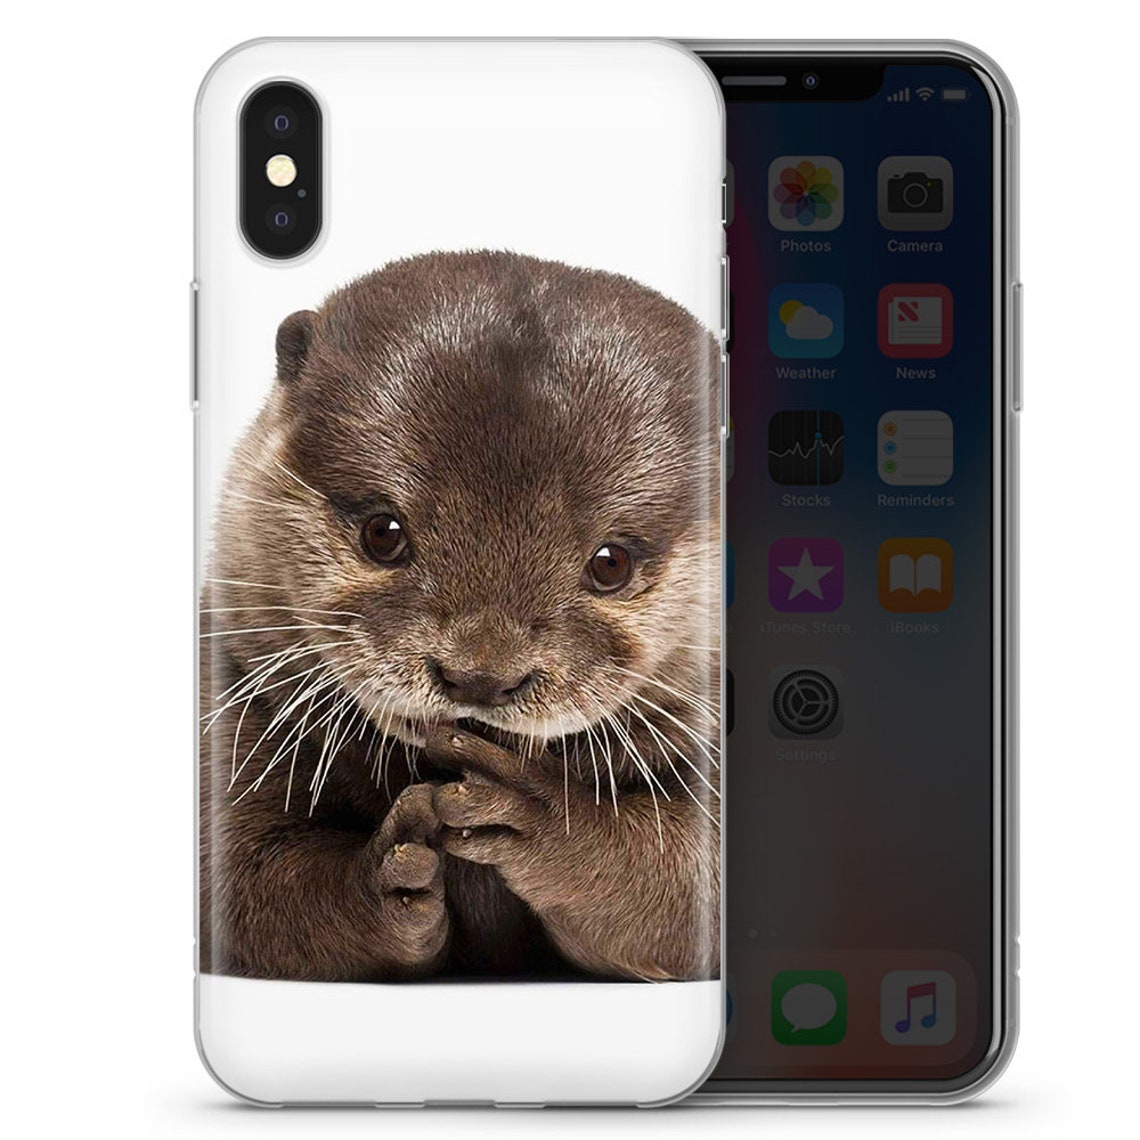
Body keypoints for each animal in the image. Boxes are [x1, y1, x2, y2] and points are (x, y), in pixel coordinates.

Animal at [199, 250, 720, 983]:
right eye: (383, 532)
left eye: (610, 563)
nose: (480, 676)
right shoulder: (226, 686)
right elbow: (240, 876)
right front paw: (387, 877)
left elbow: (690, 879)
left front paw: (542, 815)